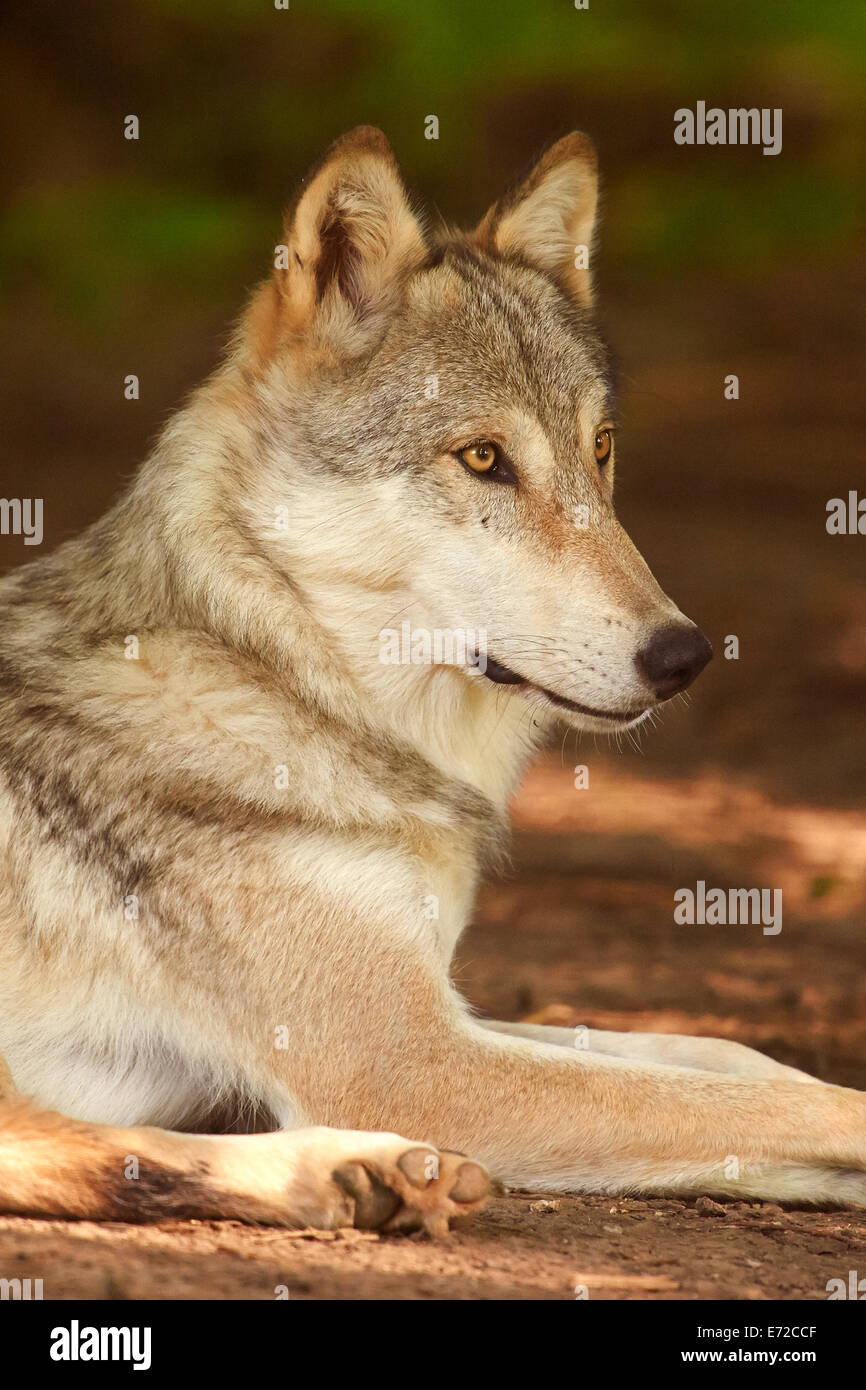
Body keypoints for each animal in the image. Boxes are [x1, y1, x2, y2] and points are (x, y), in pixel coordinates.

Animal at [0, 127, 863, 1236]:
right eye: (484, 458)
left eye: (599, 453)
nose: (683, 656)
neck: (285, 682)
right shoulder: (411, 1059)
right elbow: (754, 1099)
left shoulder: (442, 1005)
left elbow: (733, 1059)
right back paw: (347, 1170)